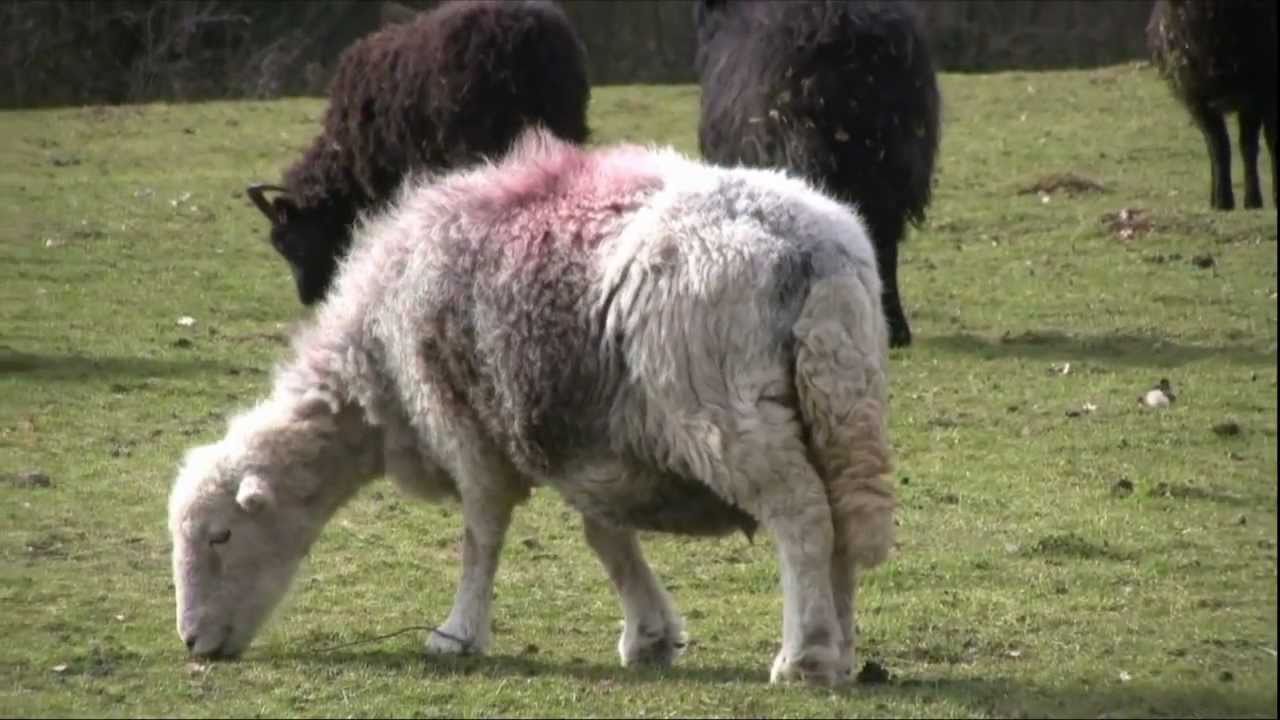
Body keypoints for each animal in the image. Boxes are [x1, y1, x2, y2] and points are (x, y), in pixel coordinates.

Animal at [169, 130, 897, 685]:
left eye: (219, 536)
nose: (192, 644)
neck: (373, 369)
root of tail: (815, 251)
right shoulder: (590, 440)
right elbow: (605, 536)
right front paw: (649, 635)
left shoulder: (465, 424)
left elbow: (481, 535)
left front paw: (457, 634)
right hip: (838, 397)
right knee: (839, 521)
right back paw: (838, 648)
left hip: (726, 409)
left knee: (802, 517)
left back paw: (803, 658)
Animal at [1147, 0, 1277, 210]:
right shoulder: (1197, 101)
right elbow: (1218, 147)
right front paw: (1222, 201)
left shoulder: (1254, 96)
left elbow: (1248, 146)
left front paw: (1252, 200)